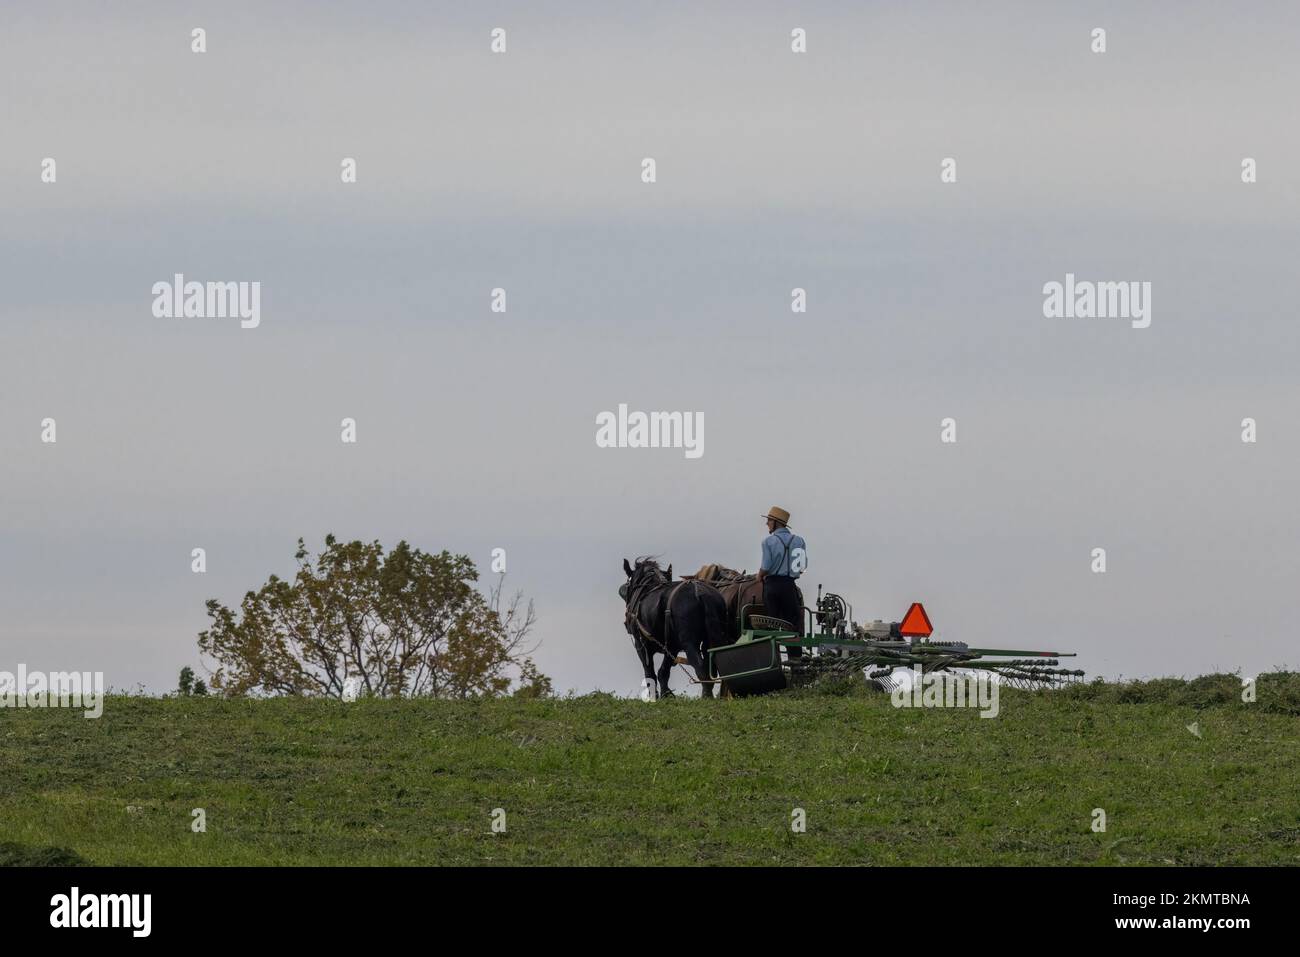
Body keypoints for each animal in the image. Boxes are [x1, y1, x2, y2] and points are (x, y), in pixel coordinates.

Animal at [620, 557, 729, 698]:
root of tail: (701, 594)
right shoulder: (672, 647)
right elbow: (663, 672)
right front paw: (666, 694)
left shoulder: (641, 645)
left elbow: (650, 673)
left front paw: (655, 695)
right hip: (713, 640)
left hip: (689, 643)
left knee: (700, 667)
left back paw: (706, 696)